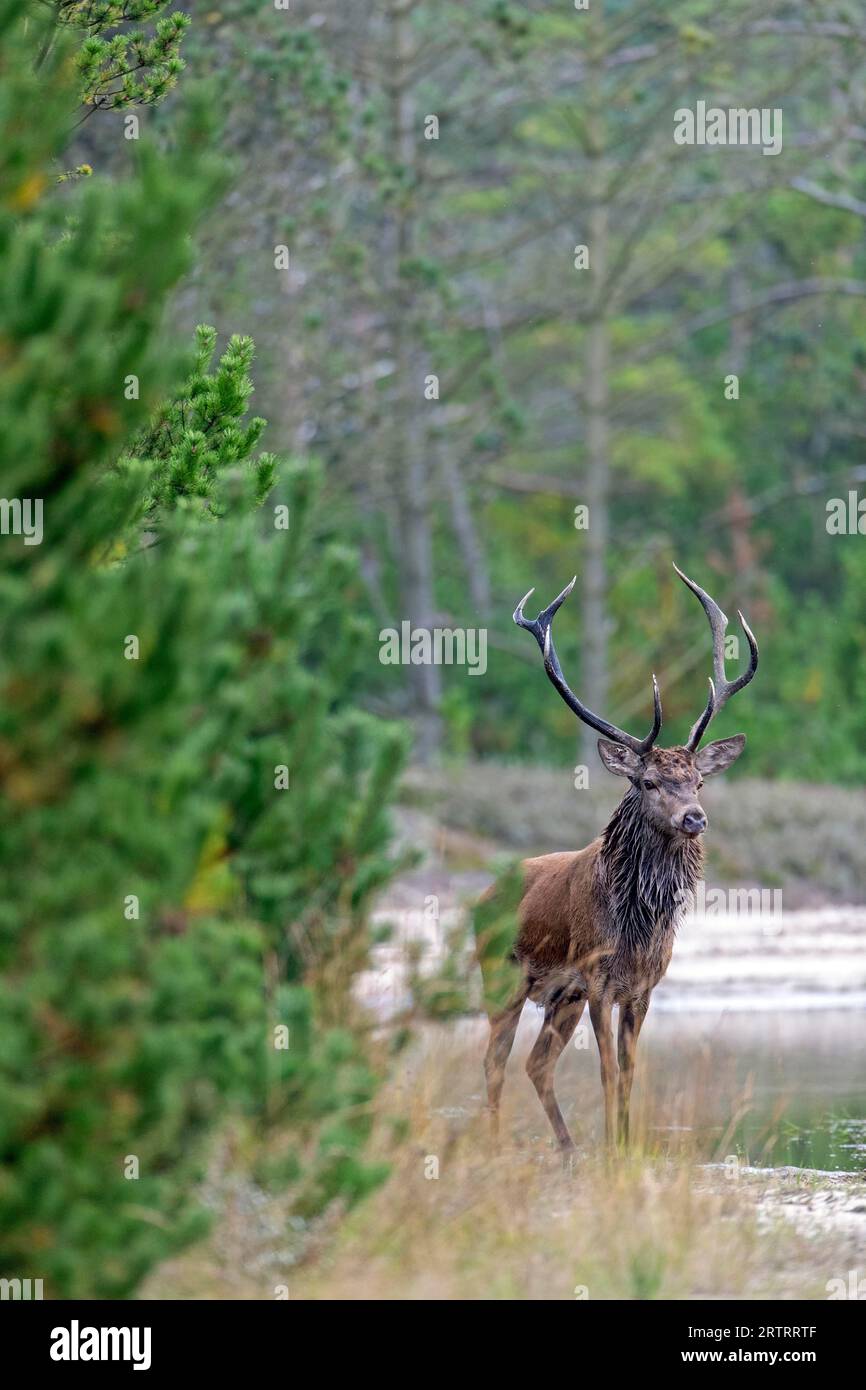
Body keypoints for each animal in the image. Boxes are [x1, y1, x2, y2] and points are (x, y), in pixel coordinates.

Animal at [481, 564, 758, 1158]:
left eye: (698, 781)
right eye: (648, 781)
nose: (695, 818)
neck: (638, 927)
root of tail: (477, 900)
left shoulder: (644, 987)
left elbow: (630, 1073)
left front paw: (625, 1148)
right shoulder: (598, 980)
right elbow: (608, 1072)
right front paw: (613, 1148)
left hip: (558, 996)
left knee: (535, 1064)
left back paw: (567, 1148)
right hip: (503, 976)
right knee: (494, 1060)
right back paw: (490, 1143)